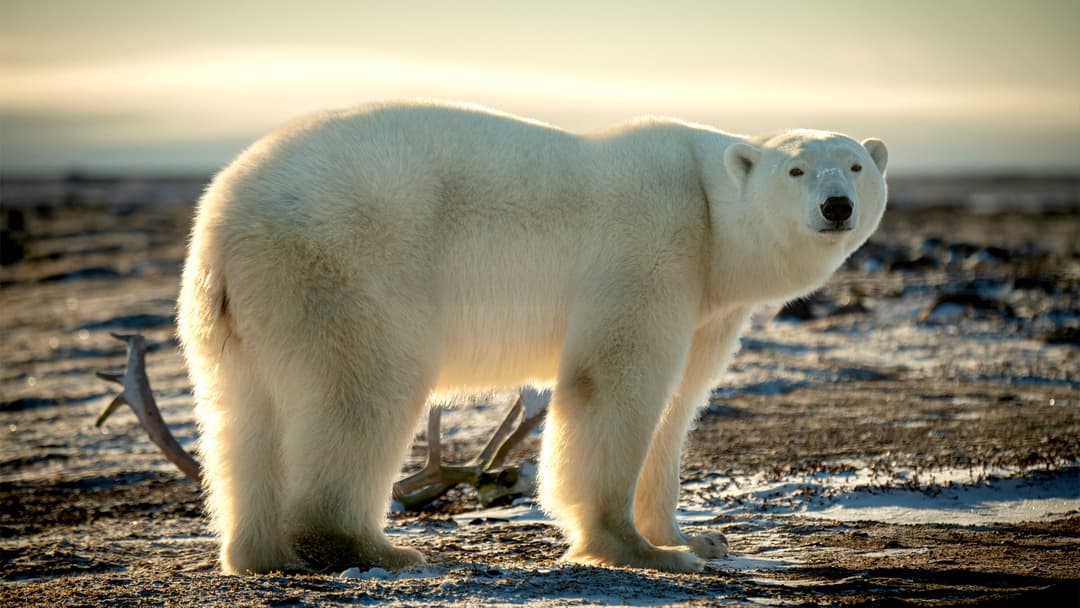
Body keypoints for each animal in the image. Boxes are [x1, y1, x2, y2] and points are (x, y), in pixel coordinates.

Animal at [177, 100, 888, 575]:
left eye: (855, 164)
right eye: (796, 171)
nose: (837, 206)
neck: (710, 211)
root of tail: (218, 222)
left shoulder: (708, 303)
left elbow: (678, 405)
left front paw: (696, 539)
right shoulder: (652, 245)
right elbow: (614, 380)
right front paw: (638, 549)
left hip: (245, 313)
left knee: (243, 418)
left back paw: (261, 552)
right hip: (343, 262)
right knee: (362, 392)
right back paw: (376, 548)